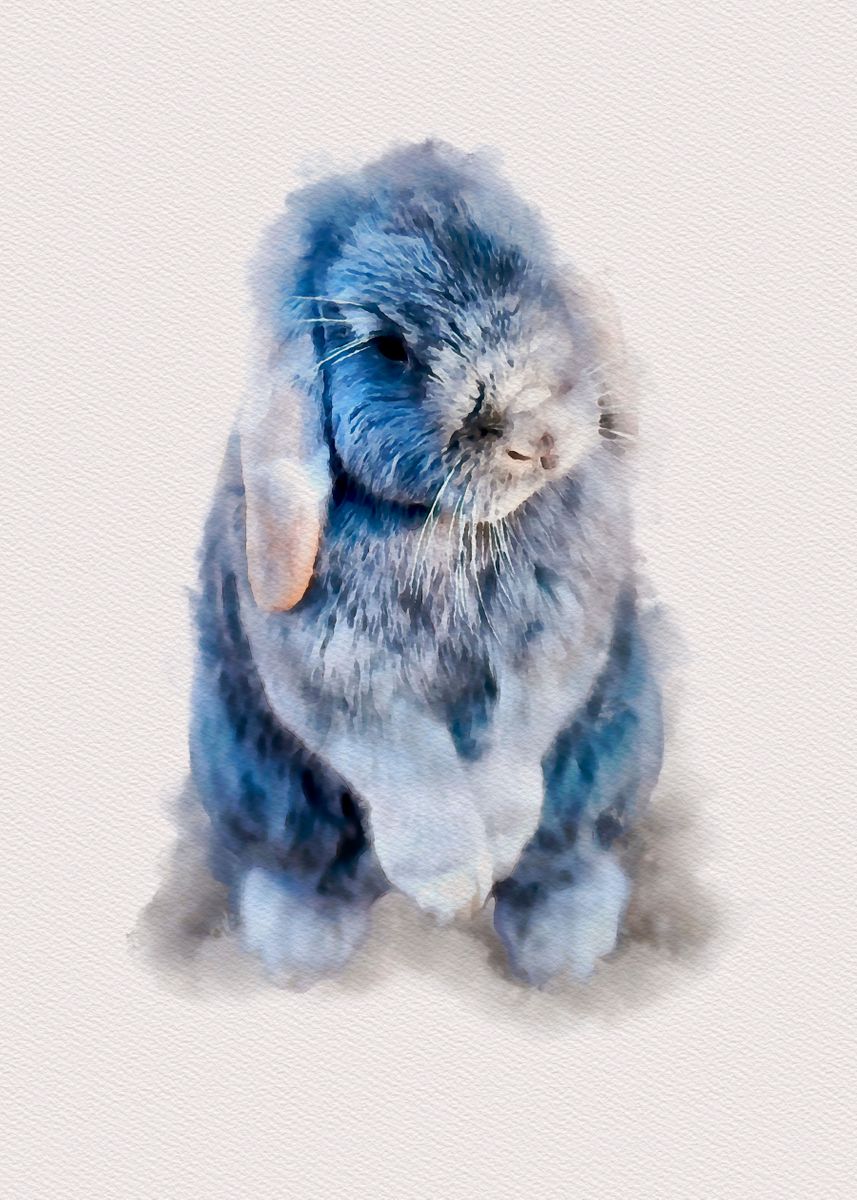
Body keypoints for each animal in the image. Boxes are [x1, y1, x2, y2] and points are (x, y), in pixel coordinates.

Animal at [189, 139, 664, 988]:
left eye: (537, 280)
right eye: (388, 346)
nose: (538, 435)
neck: (445, 530)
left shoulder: (556, 647)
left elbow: (516, 745)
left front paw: (493, 853)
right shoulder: (343, 686)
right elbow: (405, 769)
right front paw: (450, 889)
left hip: (616, 742)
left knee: (569, 850)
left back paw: (560, 945)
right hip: (249, 766)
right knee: (304, 860)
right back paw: (298, 943)